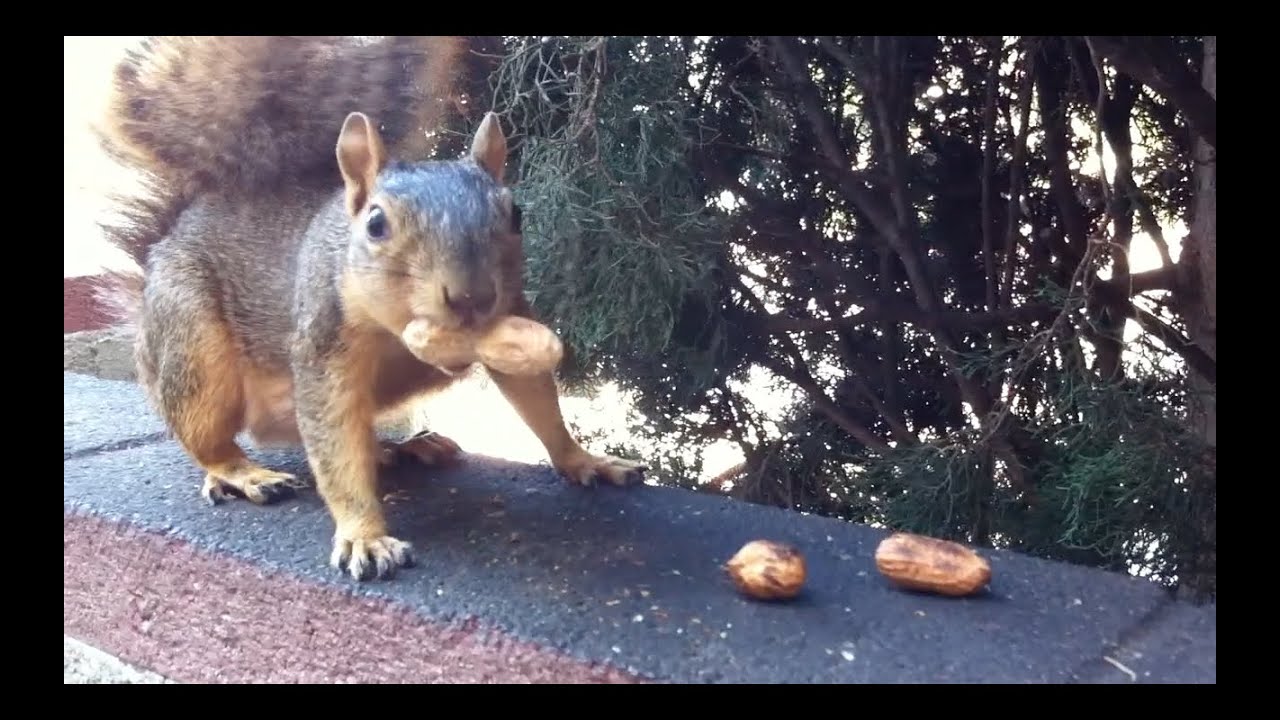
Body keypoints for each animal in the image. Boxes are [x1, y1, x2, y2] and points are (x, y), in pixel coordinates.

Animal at [93, 36, 647, 582]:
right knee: (206, 434)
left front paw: (584, 460)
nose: (471, 298)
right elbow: (335, 440)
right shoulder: (324, 340)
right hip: (192, 342)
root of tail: (169, 241)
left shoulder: (511, 315)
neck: (397, 329)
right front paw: (365, 536)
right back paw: (242, 472)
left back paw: (399, 448)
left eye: (517, 215)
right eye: (376, 225)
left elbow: (535, 399)